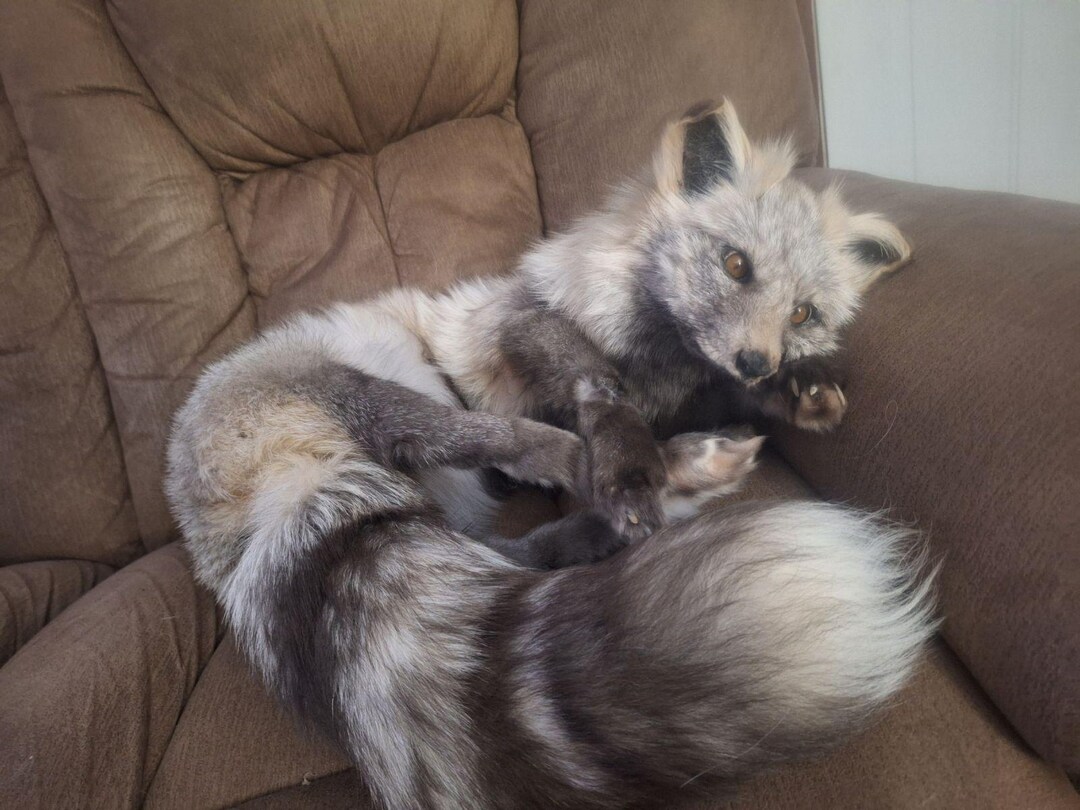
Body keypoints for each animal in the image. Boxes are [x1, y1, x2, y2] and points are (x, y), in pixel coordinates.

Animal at [165, 101, 935, 809]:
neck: (660, 365)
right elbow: (600, 386)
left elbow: (723, 397)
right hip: (389, 403)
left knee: (517, 552)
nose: (758, 358)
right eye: (735, 264)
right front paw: (624, 459)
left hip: (446, 501)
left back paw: (640, 500)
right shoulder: (526, 328)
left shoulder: (694, 388)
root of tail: (204, 506)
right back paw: (610, 473)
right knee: (501, 445)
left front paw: (793, 391)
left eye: (803, 312)